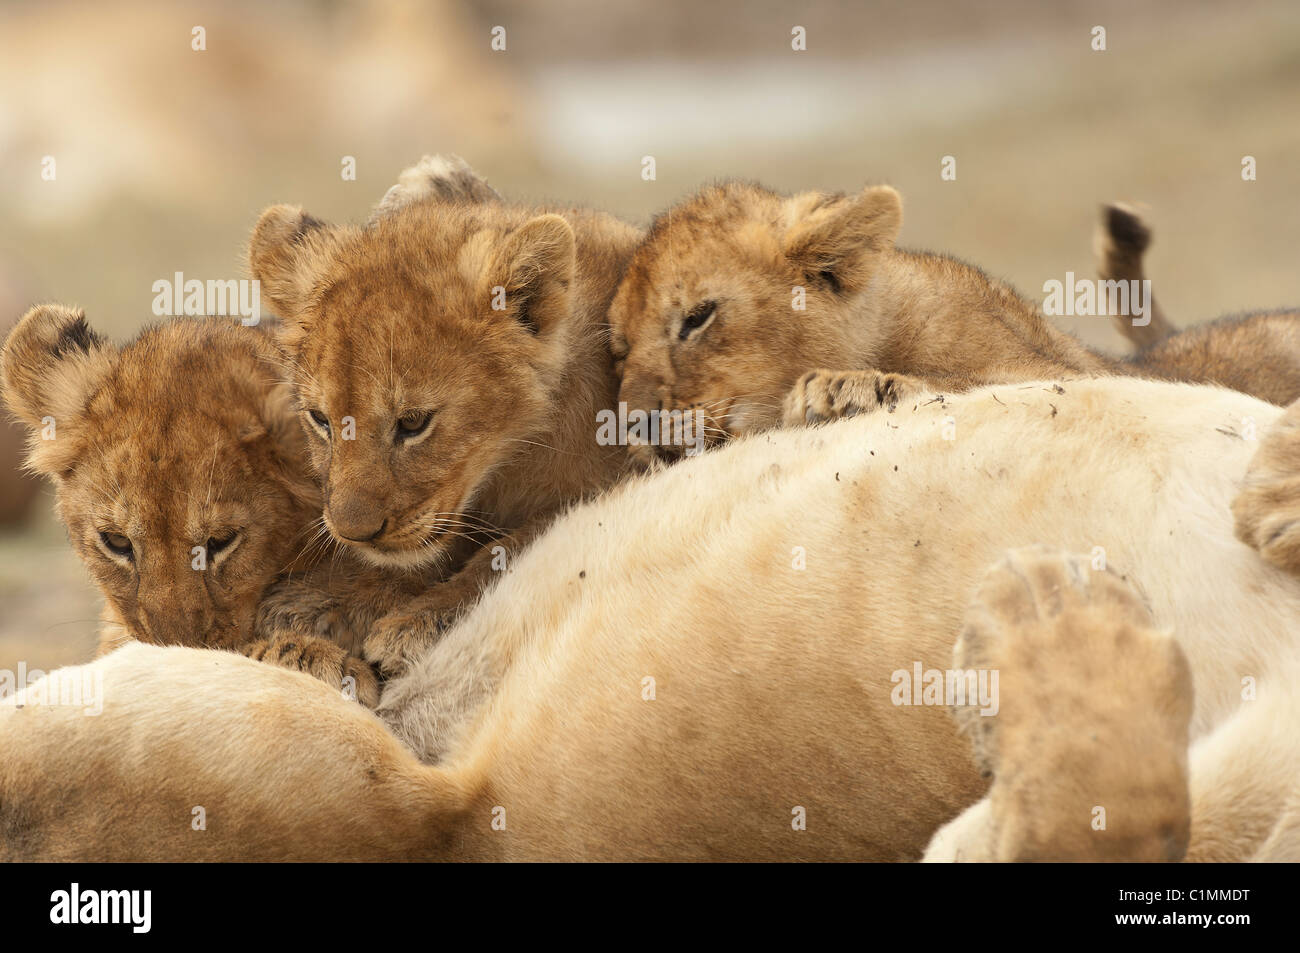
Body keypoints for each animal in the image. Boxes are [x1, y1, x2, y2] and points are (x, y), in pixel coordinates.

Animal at [246, 184, 642, 676]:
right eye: (320, 420)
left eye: (413, 422)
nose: (354, 534)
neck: (511, 459)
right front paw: (317, 600)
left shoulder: (619, 477)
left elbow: (513, 548)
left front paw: (416, 622)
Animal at [610, 182, 1300, 458]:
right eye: (618, 347)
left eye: (697, 318)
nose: (631, 426)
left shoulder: (1076, 377)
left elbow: (962, 381)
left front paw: (843, 390)